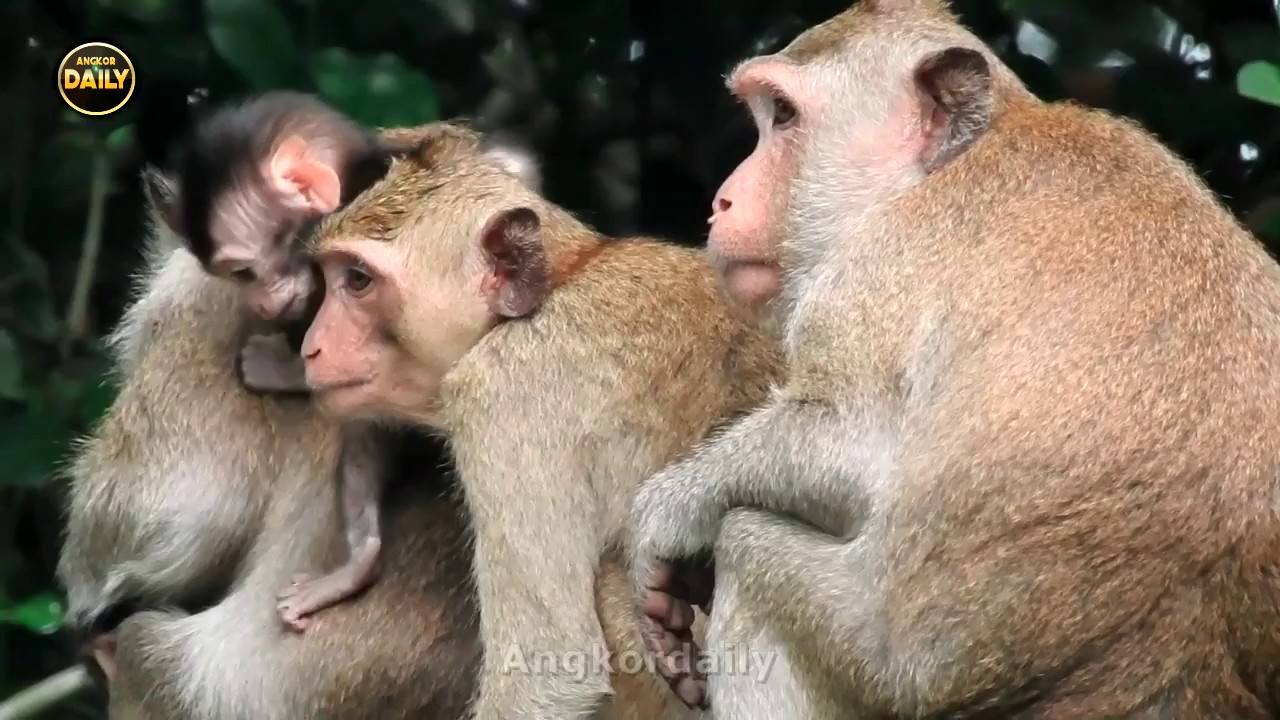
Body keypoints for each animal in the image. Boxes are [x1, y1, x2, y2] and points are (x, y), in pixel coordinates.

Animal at [294, 123, 785, 718]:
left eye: (359, 281)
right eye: (331, 277)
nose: (311, 346)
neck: (561, 281)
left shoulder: (504, 395)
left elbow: (549, 672)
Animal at [626, 0, 1280, 717]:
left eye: (786, 116)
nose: (722, 199)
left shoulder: (875, 271)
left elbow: (850, 445)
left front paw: (668, 515)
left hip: (898, 672)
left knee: (749, 547)